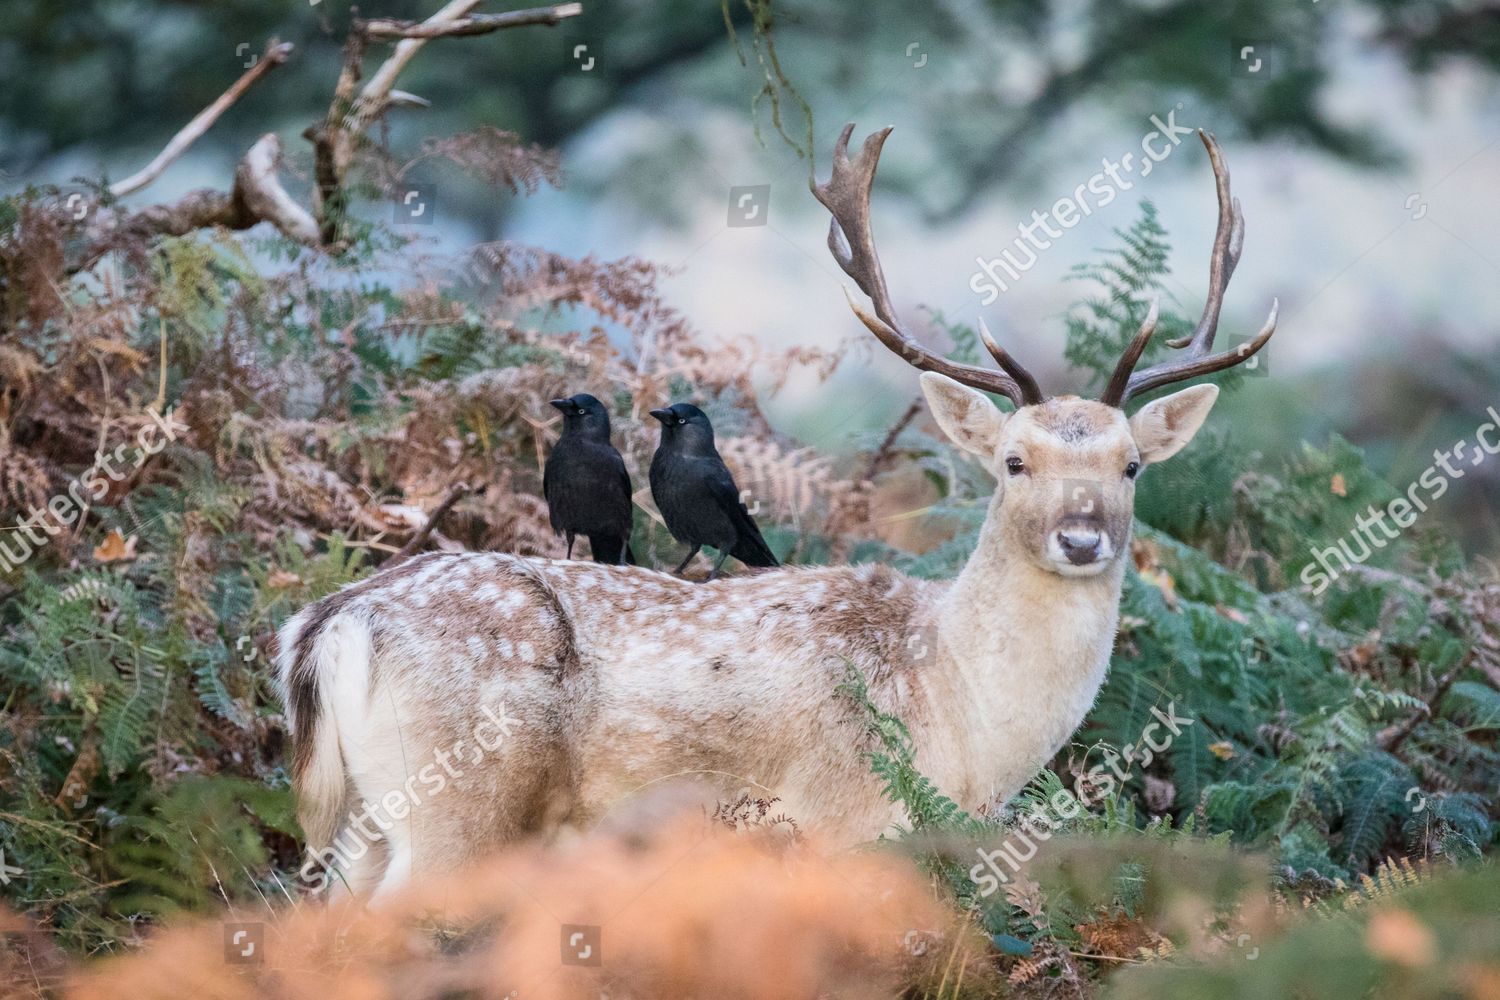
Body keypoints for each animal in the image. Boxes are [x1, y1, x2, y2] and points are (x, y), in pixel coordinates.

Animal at [277, 124, 1278, 899]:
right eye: (1012, 461)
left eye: (1133, 465)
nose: (1081, 536)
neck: (963, 727)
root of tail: (332, 625)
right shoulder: (844, 821)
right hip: (459, 803)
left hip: (363, 821)